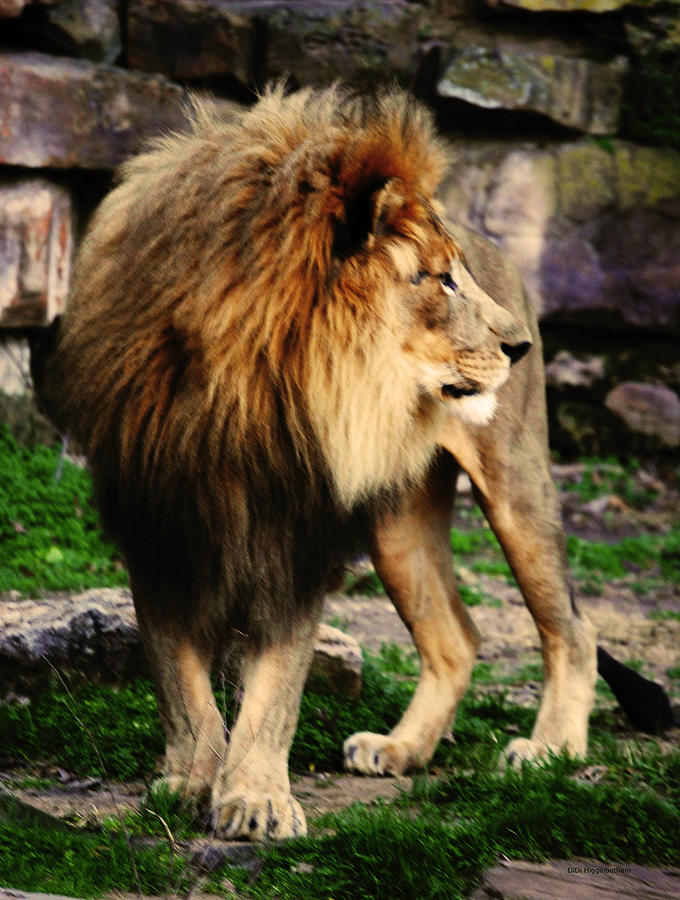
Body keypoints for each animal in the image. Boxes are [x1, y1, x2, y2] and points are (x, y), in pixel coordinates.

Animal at [31, 84, 671, 842]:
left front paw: (255, 799)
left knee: (573, 627)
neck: (247, 386)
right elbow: (179, 681)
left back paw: (549, 750)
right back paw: (401, 748)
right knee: (457, 637)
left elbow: (275, 689)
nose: (518, 346)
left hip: (515, 481)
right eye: (440, 280)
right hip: (396, 527)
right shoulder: (158, 528)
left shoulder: (293, 539)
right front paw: (188, 781)